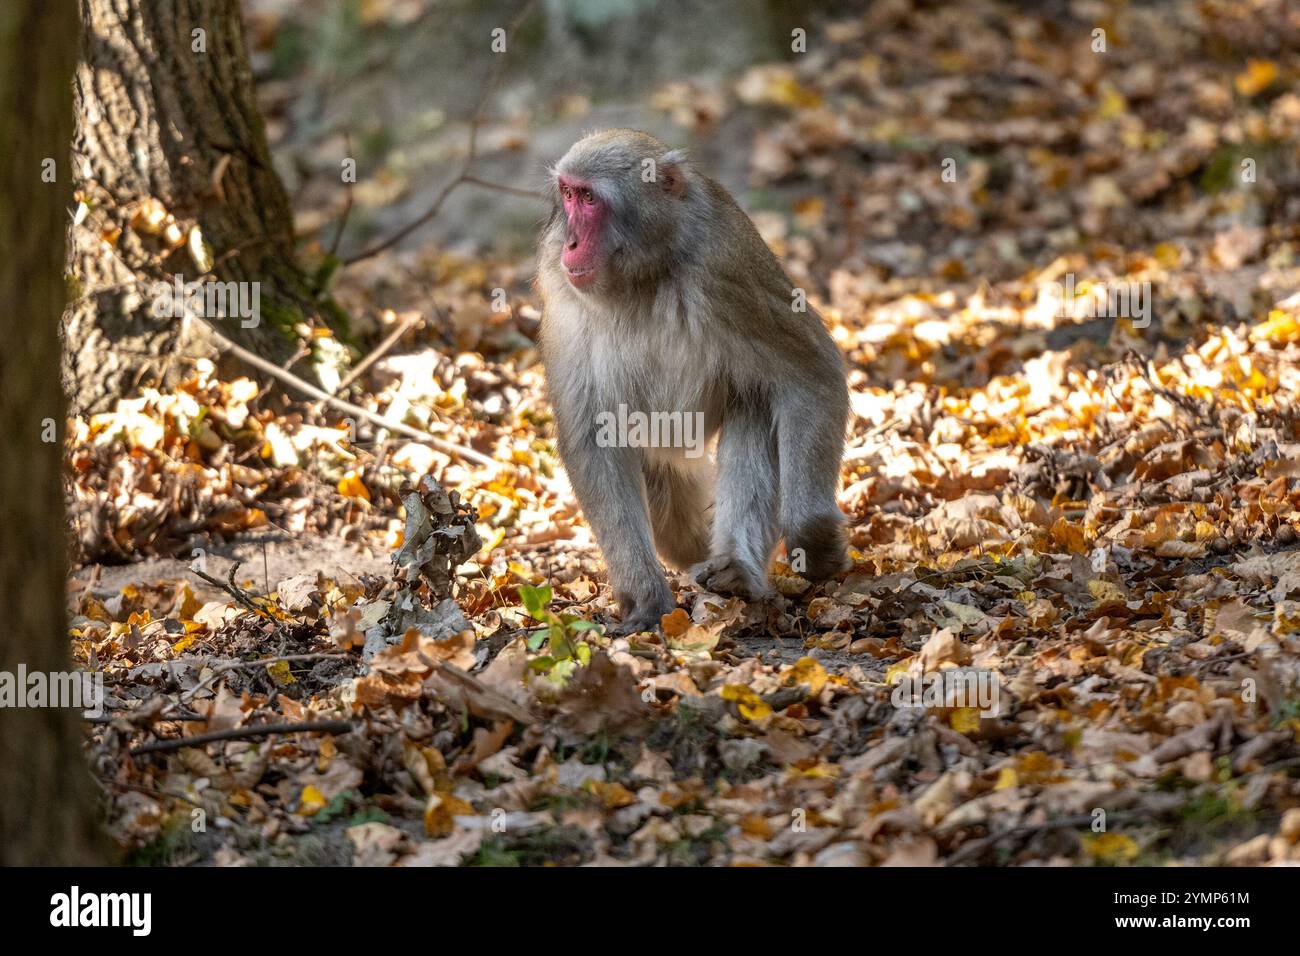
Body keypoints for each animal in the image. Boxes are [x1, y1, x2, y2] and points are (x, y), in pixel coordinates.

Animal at [537, 129, 849, 633]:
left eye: (589, 198)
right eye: (567, 194)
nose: (570, 242)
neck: (644, 275)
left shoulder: (726, 269)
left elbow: (812, 376)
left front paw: (813, 542)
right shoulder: (561, 292)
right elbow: (592, 435)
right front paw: (646, 598)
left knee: (756, 403)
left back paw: (737, 571)